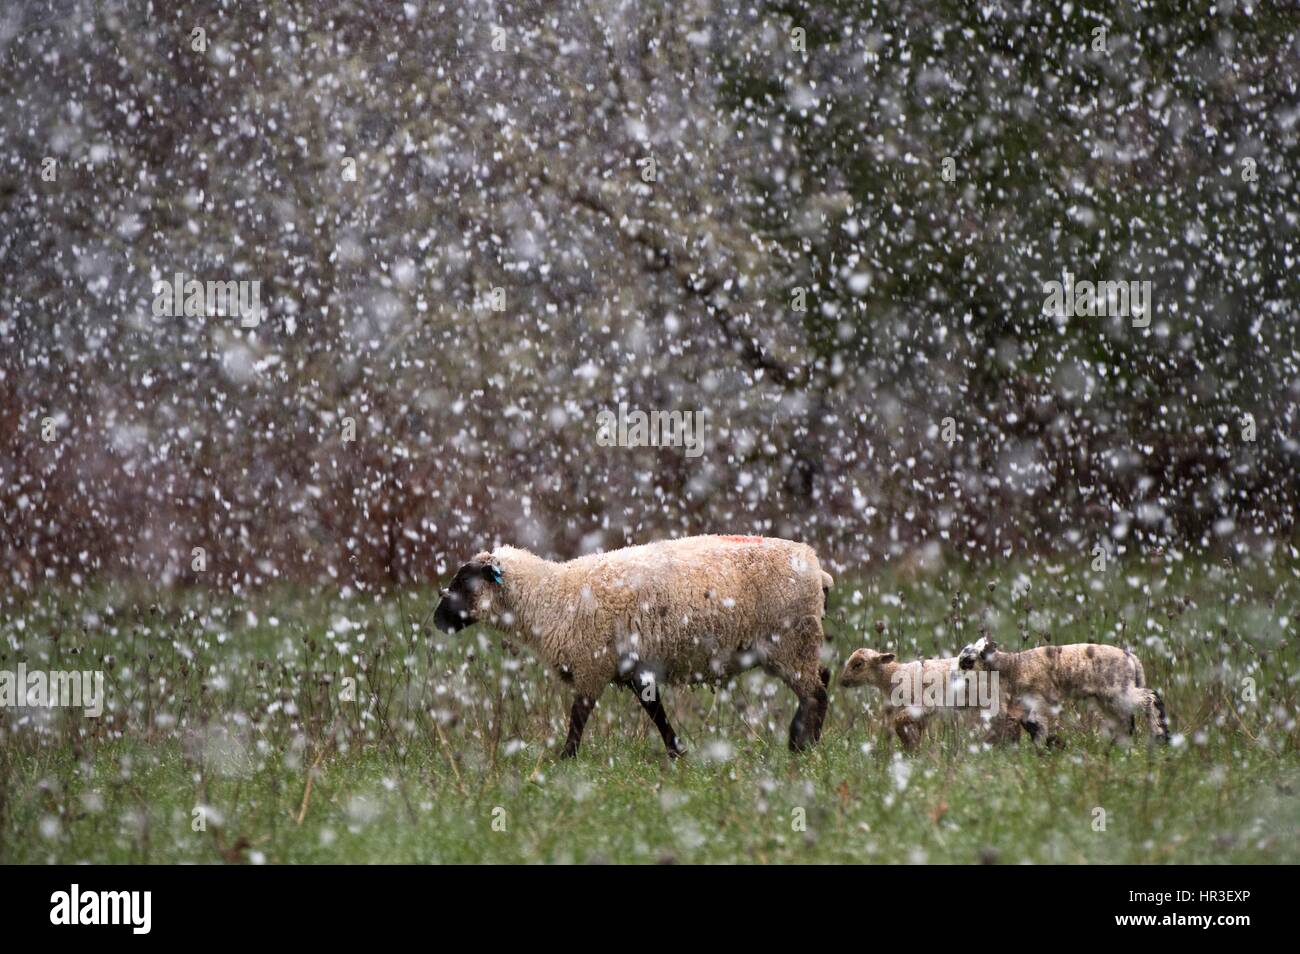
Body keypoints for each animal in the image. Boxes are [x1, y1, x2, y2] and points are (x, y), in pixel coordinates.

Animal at [433, 535, 834, 758]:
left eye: (465, 583)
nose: (437, 621)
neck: (552, 596)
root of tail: (817, 568)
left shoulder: (592, 665)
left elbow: (578, 715)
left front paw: (565, 758)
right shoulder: (631, 667)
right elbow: (655, 711)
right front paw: (676, 751)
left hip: (791, 640)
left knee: (815, 691)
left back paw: (802, 745)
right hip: (795, 644)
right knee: (824, 680)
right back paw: (806, 740)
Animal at [838, 648, 1021, 747]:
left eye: (859, 664)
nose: (842, 681)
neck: (892, 675)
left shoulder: (924, 705)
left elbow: (898, 721)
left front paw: (909, 746)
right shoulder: (921, 714)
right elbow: (920, 731)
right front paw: (915, 751)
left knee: (1007, 722)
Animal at [956, 636, 1169, 744]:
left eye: (967, 661)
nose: (955, 678)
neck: (1013, 666)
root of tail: (1131, 657)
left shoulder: (1040, 697)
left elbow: (1037, 722)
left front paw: (1041, 749)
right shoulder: (1023, 701)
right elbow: (1029, 723)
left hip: (1118, 689)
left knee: (1149, 698)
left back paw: (1160, 735)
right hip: (1108, 698)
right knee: (1125, 719)